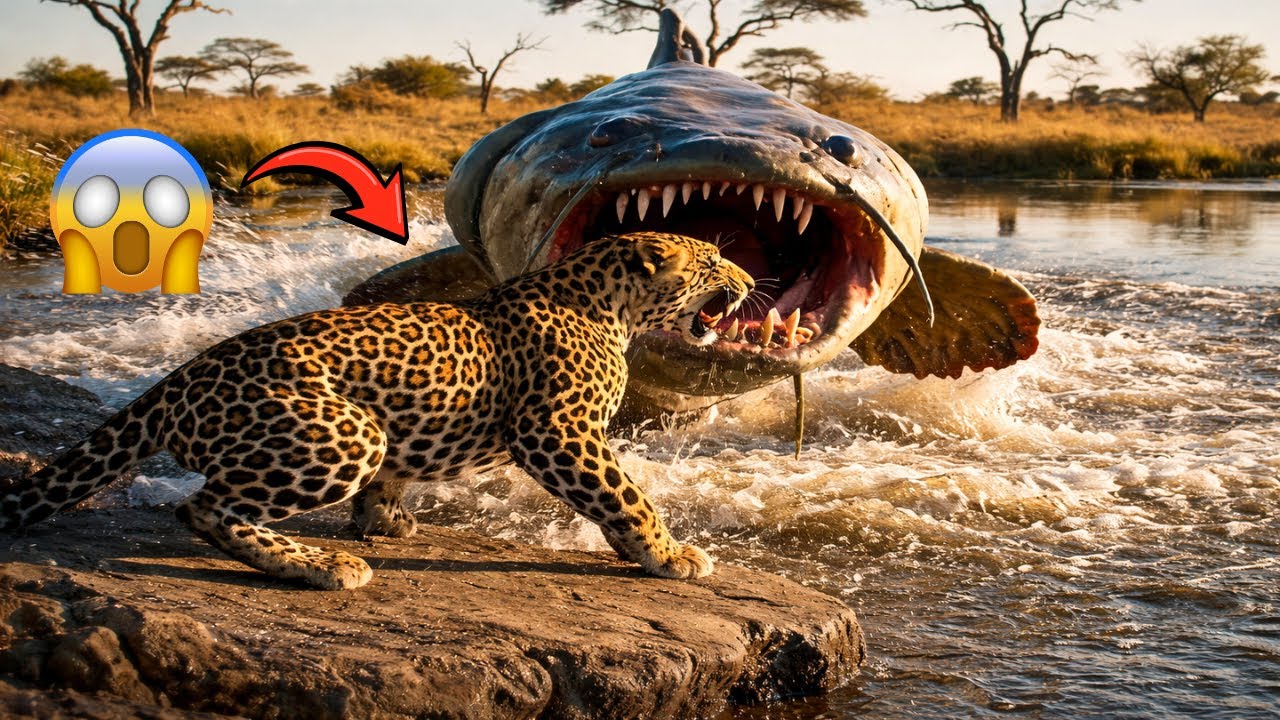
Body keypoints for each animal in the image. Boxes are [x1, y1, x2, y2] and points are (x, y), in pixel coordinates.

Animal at [1, 232, 753, 590]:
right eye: (712, 262)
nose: (747, 282)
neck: (609, 307)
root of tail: (178, 376)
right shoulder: (558, 430)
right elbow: (625, 493)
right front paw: (668, 552)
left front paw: (383, 522)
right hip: (346, 431)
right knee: (204, 508)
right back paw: (320, 566)